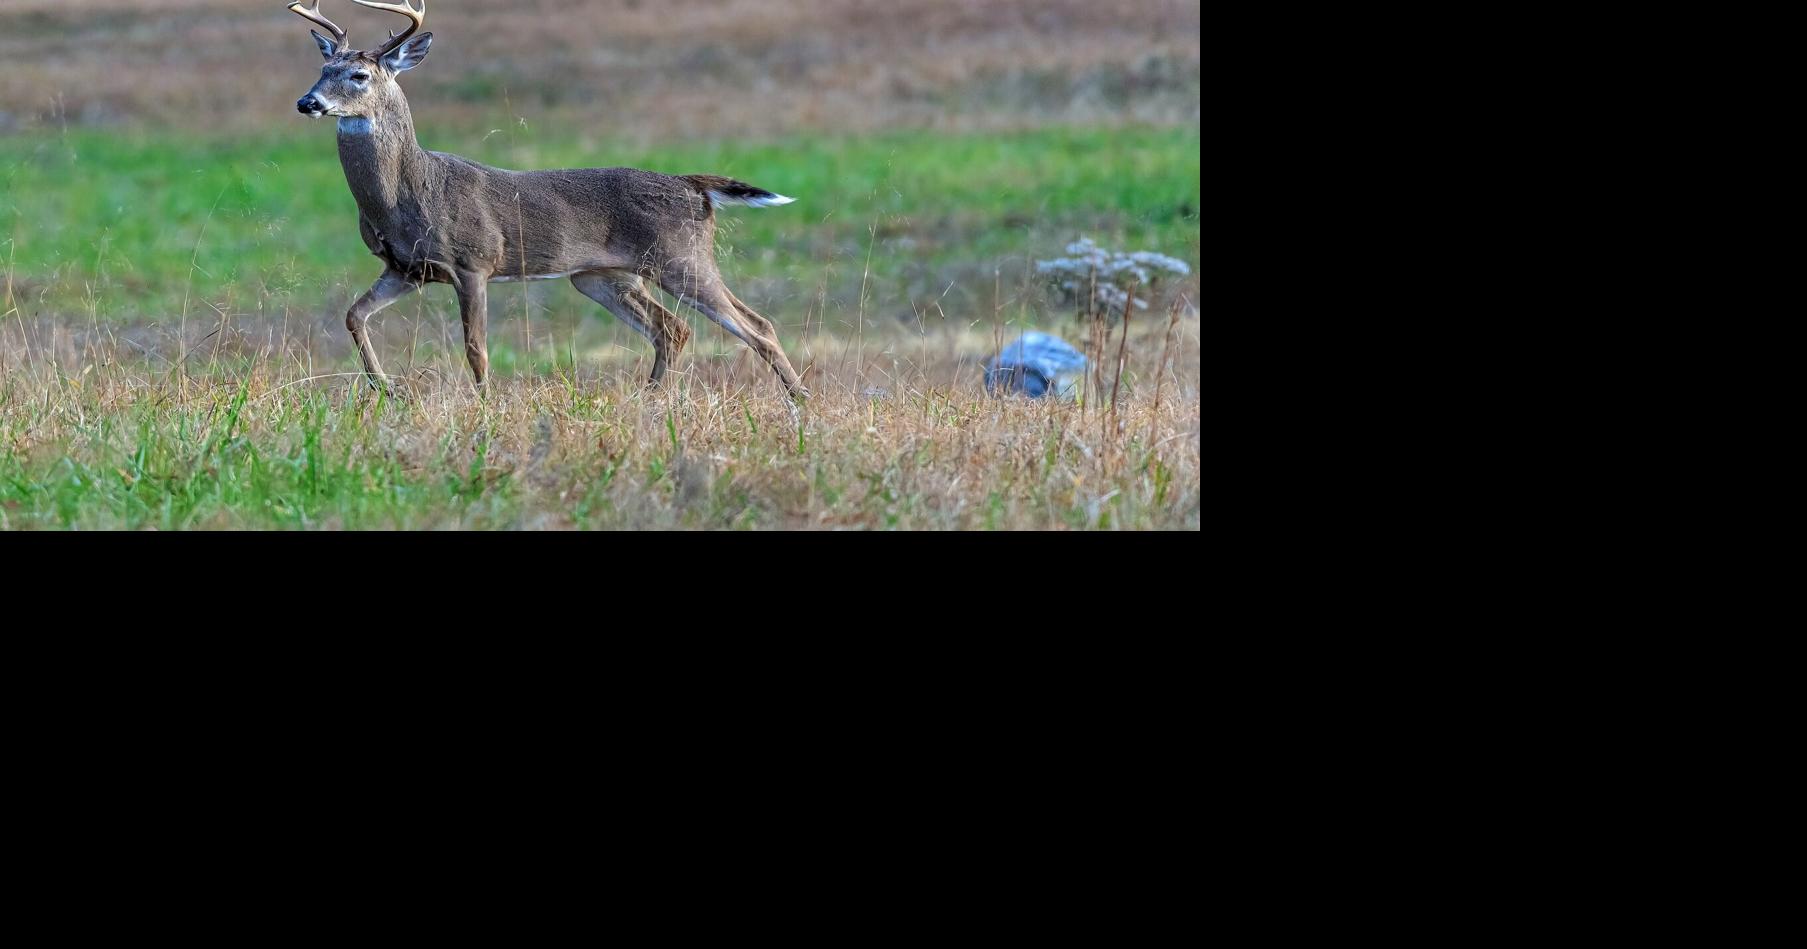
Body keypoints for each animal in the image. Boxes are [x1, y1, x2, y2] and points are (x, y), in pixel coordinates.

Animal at [286, 0, 808, 400]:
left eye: (358, 75)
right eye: (323, 69)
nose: (307, 102)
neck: (407, 195)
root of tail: (694, 187)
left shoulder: (475, 261)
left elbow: (476, 347)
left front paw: (485, 404)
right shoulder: (406, 268)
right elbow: (354, 316)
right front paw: (387, 388)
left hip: (681, 258)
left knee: (756, 324)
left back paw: (798, 399)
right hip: (603, 276)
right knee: (672, 330)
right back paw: (652, 398)